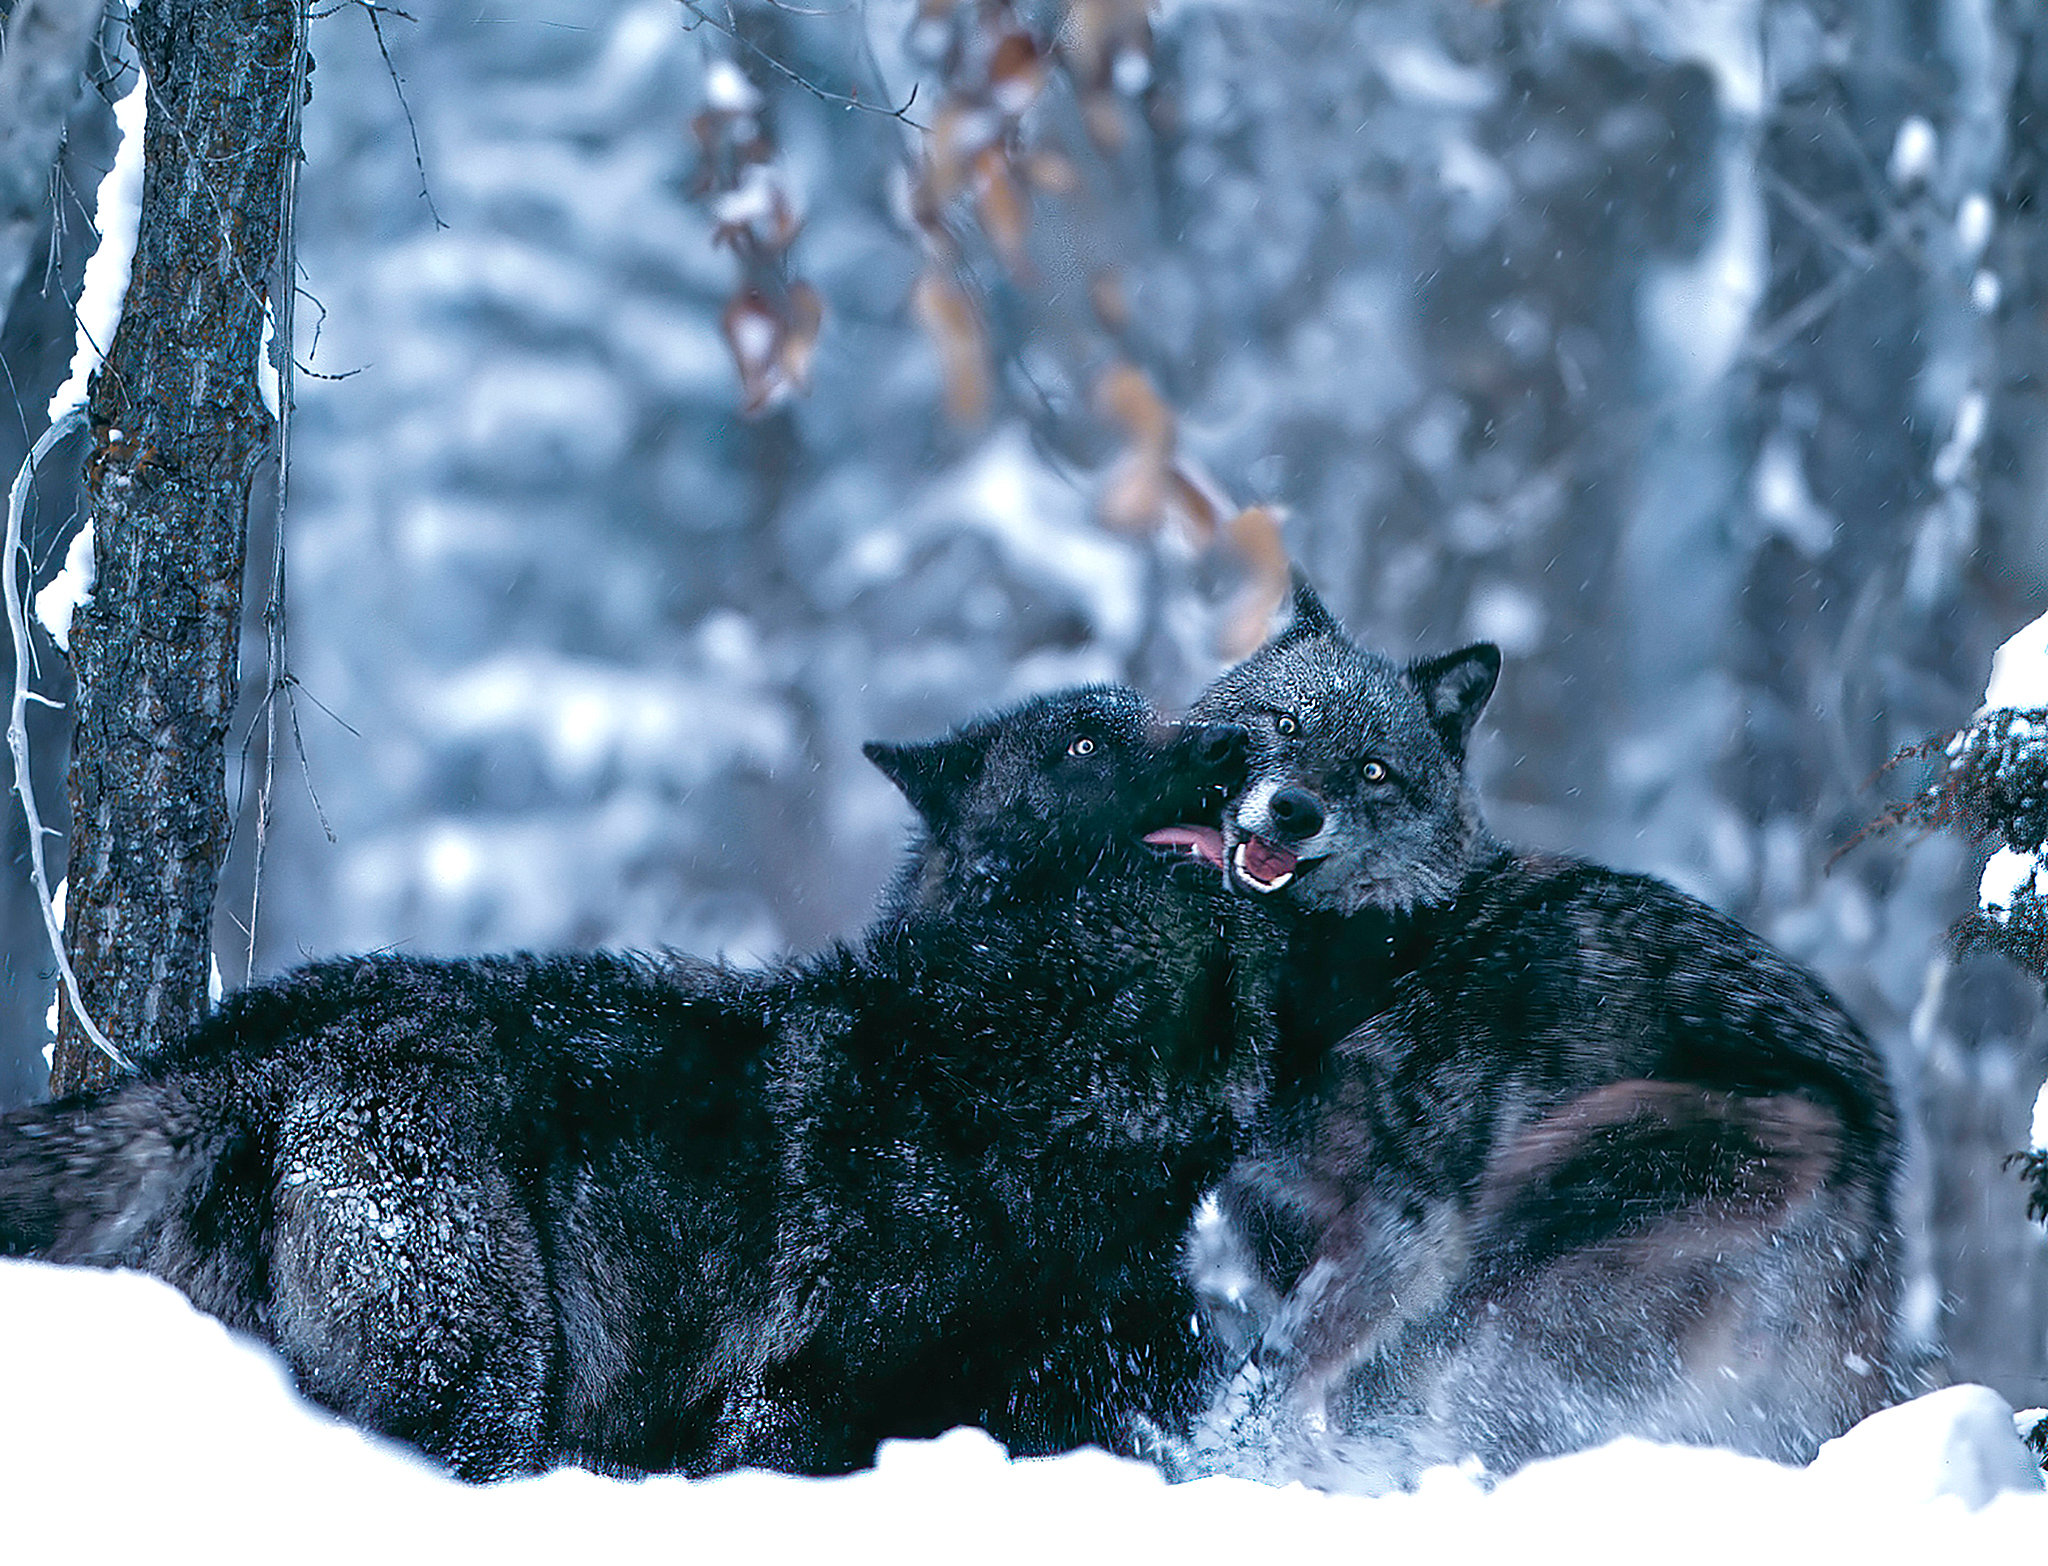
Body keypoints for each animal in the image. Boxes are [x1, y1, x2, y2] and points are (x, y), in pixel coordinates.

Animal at [0, 686, 1279, 1480]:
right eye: (1085, 750)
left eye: (1155, 711)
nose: (1236, 748)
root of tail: (245, 1039)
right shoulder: (782, 1409)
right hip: (485, 1385)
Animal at [1177, 579, 1907, 1490]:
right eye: (1285, 722)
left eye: (1374, 770)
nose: (1295, 811)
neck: (1379, 944)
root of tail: (1881, 1180)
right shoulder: (1278, 1222)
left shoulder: (1404, 1229)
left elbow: (1268, 1380)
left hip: (1552, 1210)